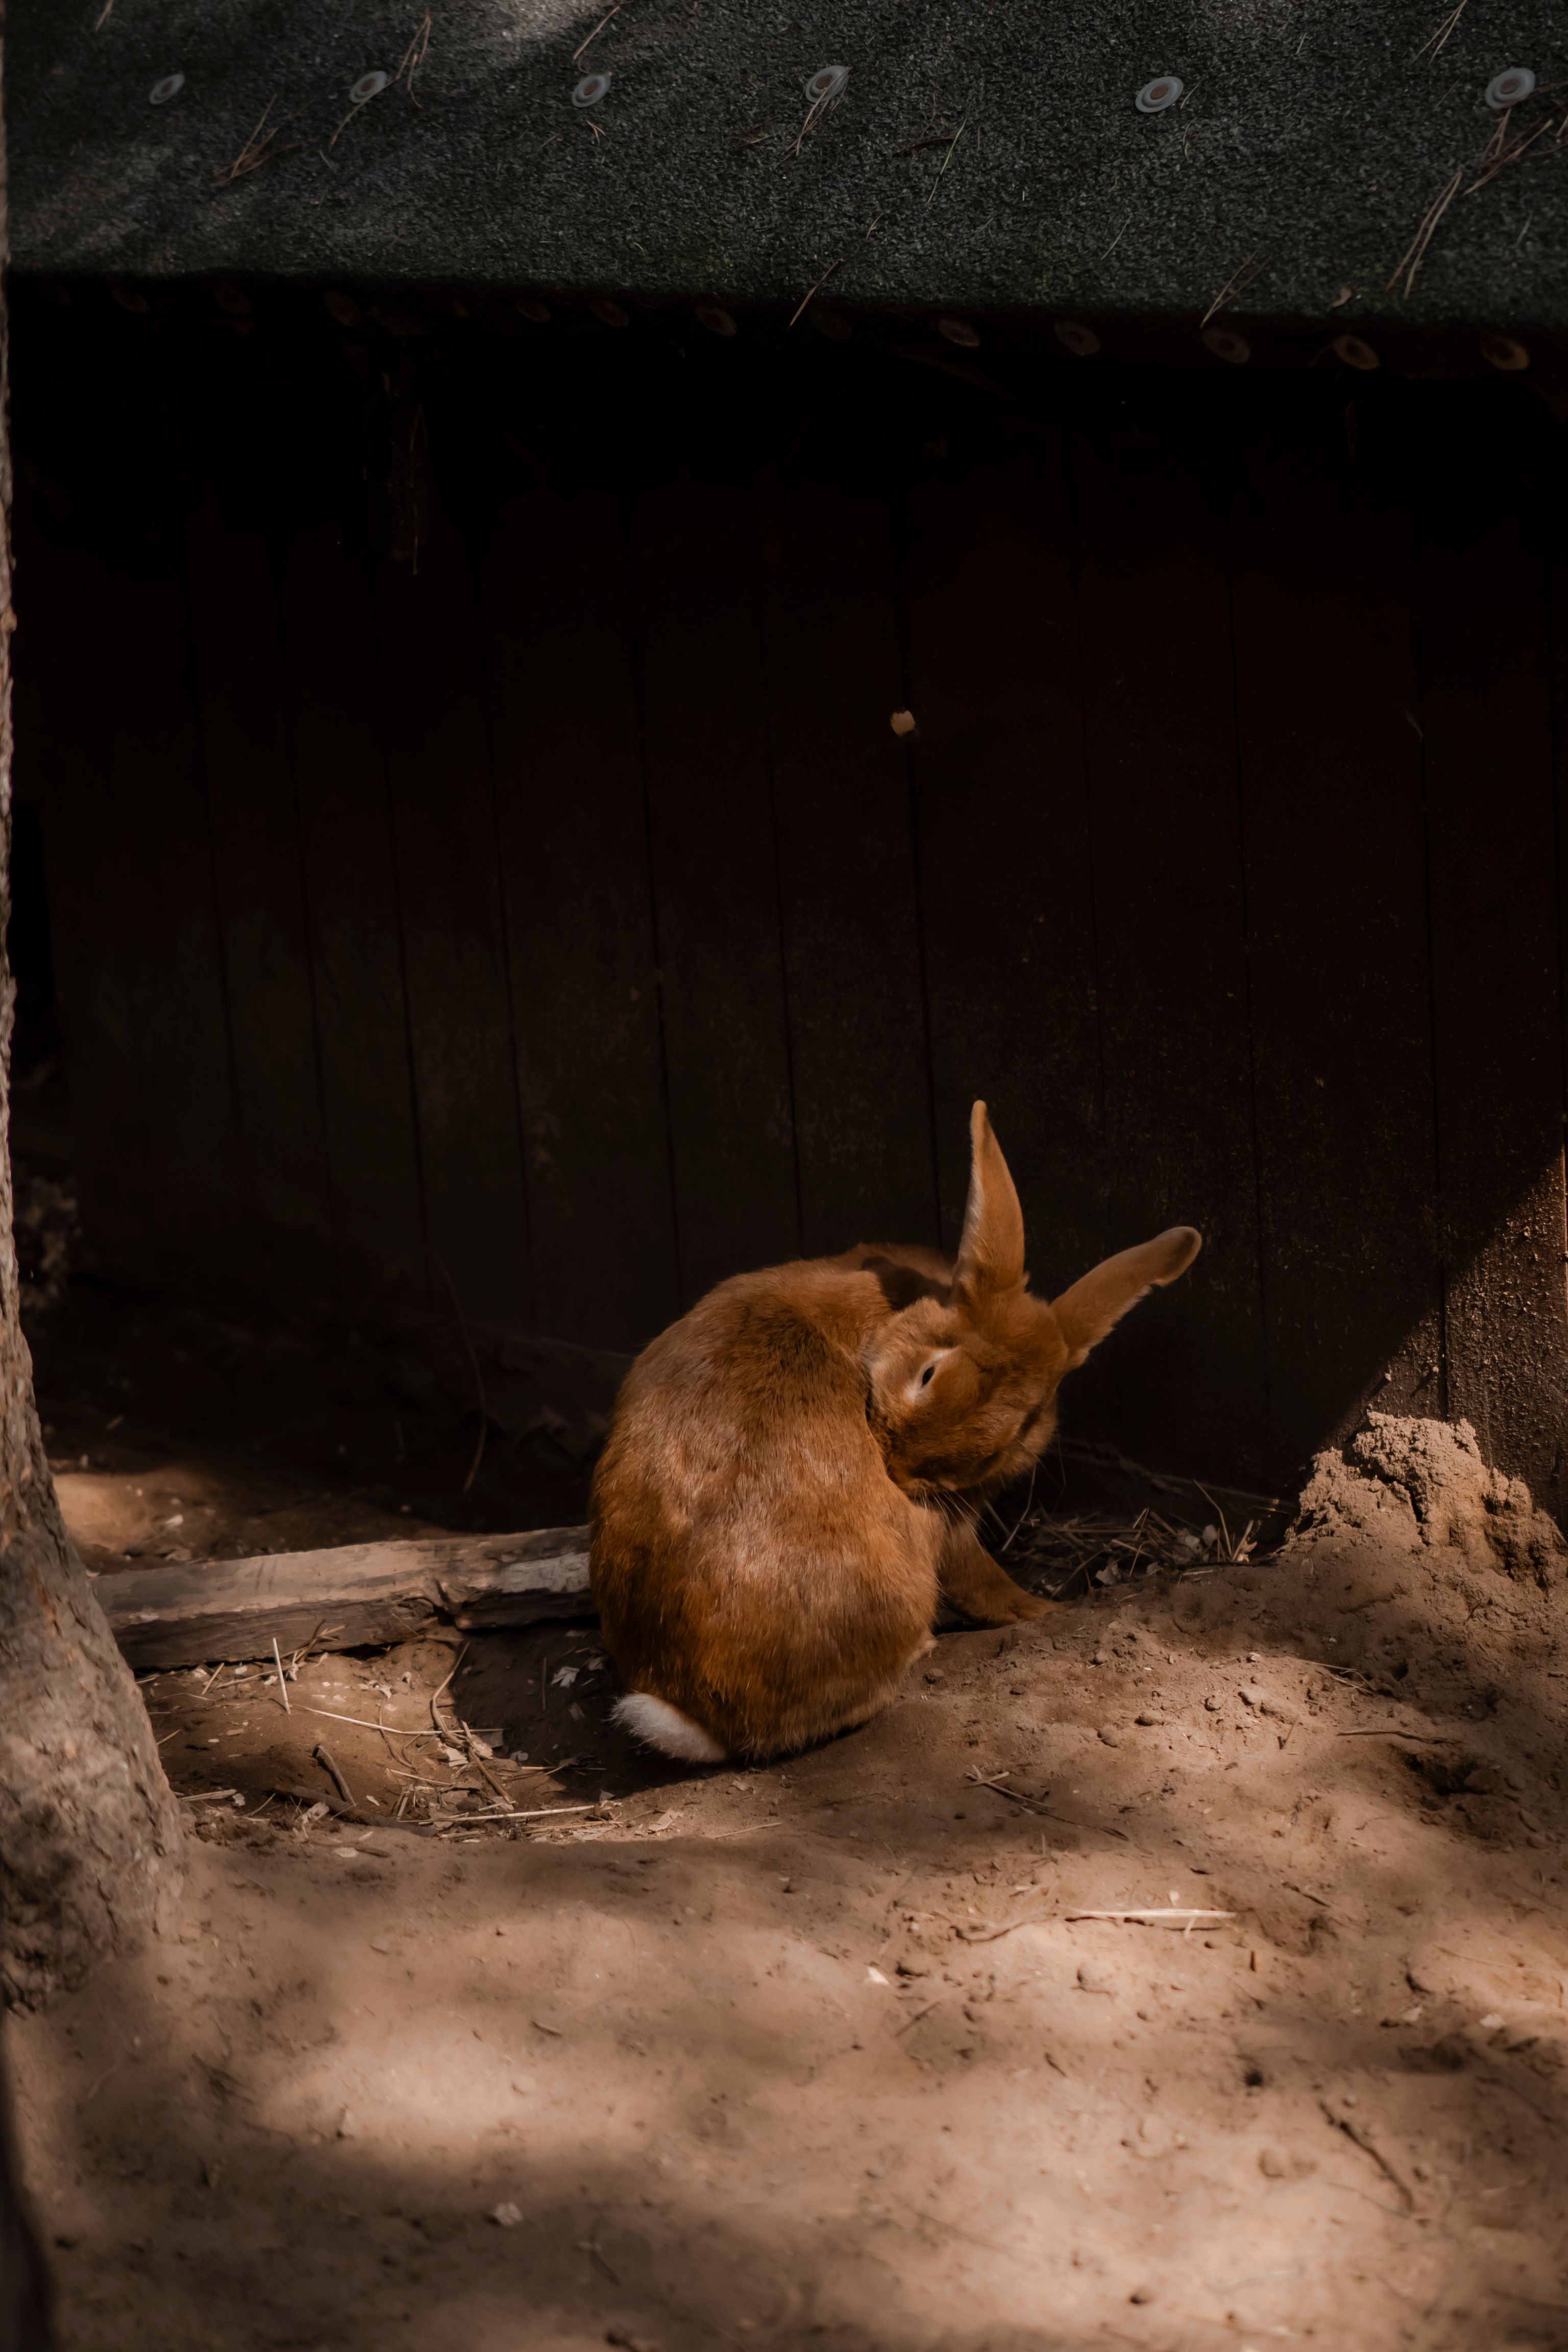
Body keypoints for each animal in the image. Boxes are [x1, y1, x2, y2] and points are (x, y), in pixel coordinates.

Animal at [591, 1102, 1200, 1763]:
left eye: (1023, 1426)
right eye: (929, 1374)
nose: (902, 1472)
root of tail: (706, 1719)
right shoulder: (951, 1521)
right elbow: (979, 1575)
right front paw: (1040, 1610)